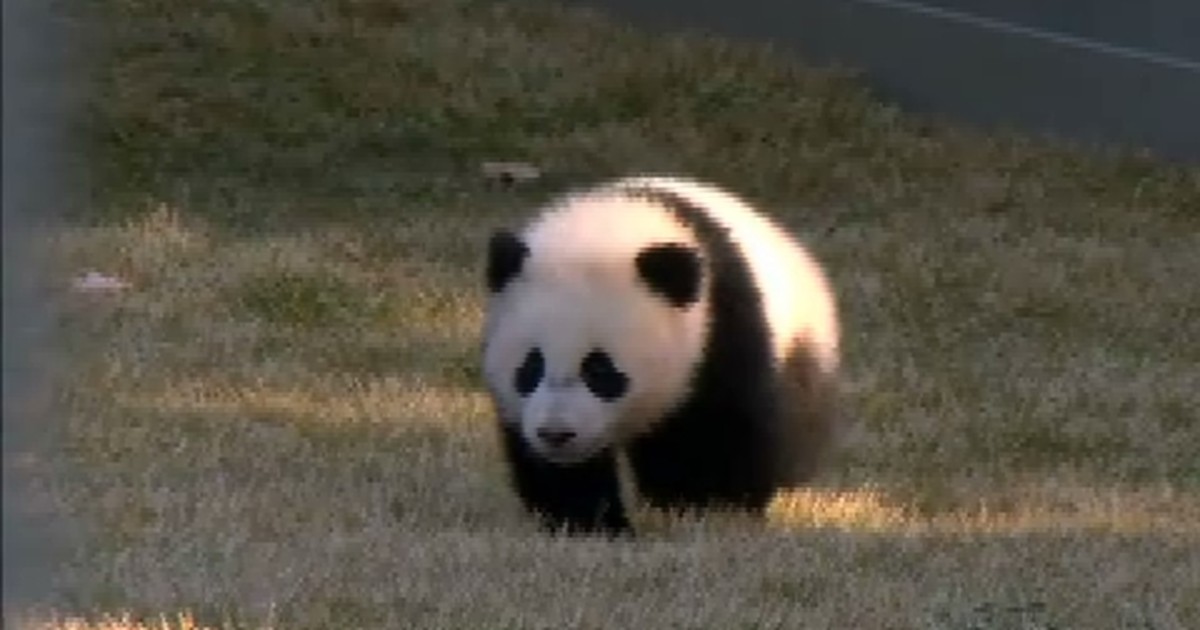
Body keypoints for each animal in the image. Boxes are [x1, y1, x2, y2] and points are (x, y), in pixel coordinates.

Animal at [482, 175, 841, 536]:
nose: (556, 434)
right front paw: (590, 523)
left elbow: (719, 424)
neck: (608, 229)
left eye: (600, 370)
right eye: (531, 366)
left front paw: (711, 506)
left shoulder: (721, 323)